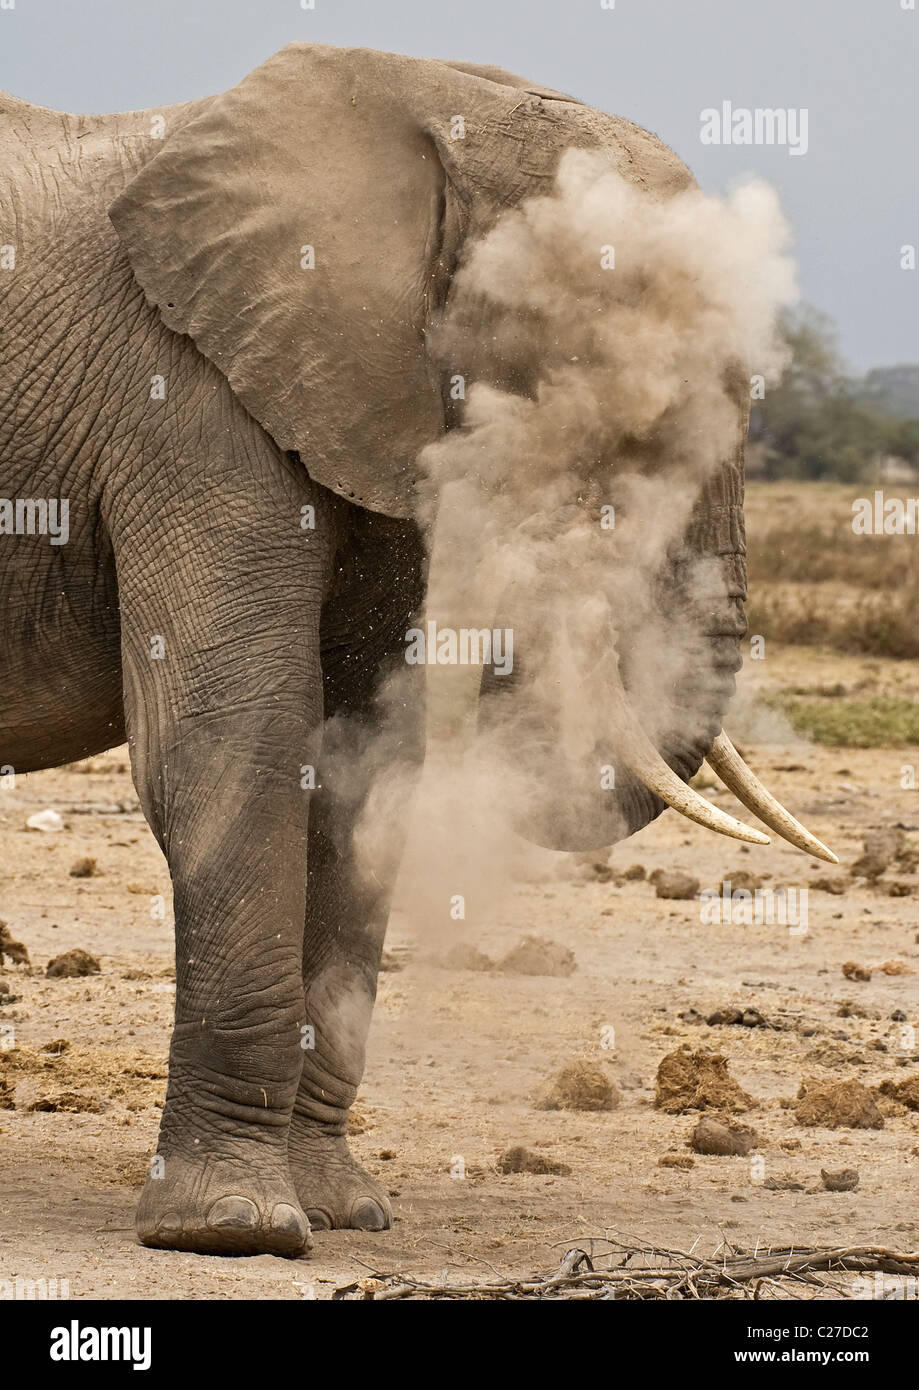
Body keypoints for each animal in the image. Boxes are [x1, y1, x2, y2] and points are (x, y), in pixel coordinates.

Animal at [0, 42, 836, 1258]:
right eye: (599, 383)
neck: (423, 93)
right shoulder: (187, 406)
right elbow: (239, 742)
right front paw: (238, 1233)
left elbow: (357, 755)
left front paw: (344, 1215)